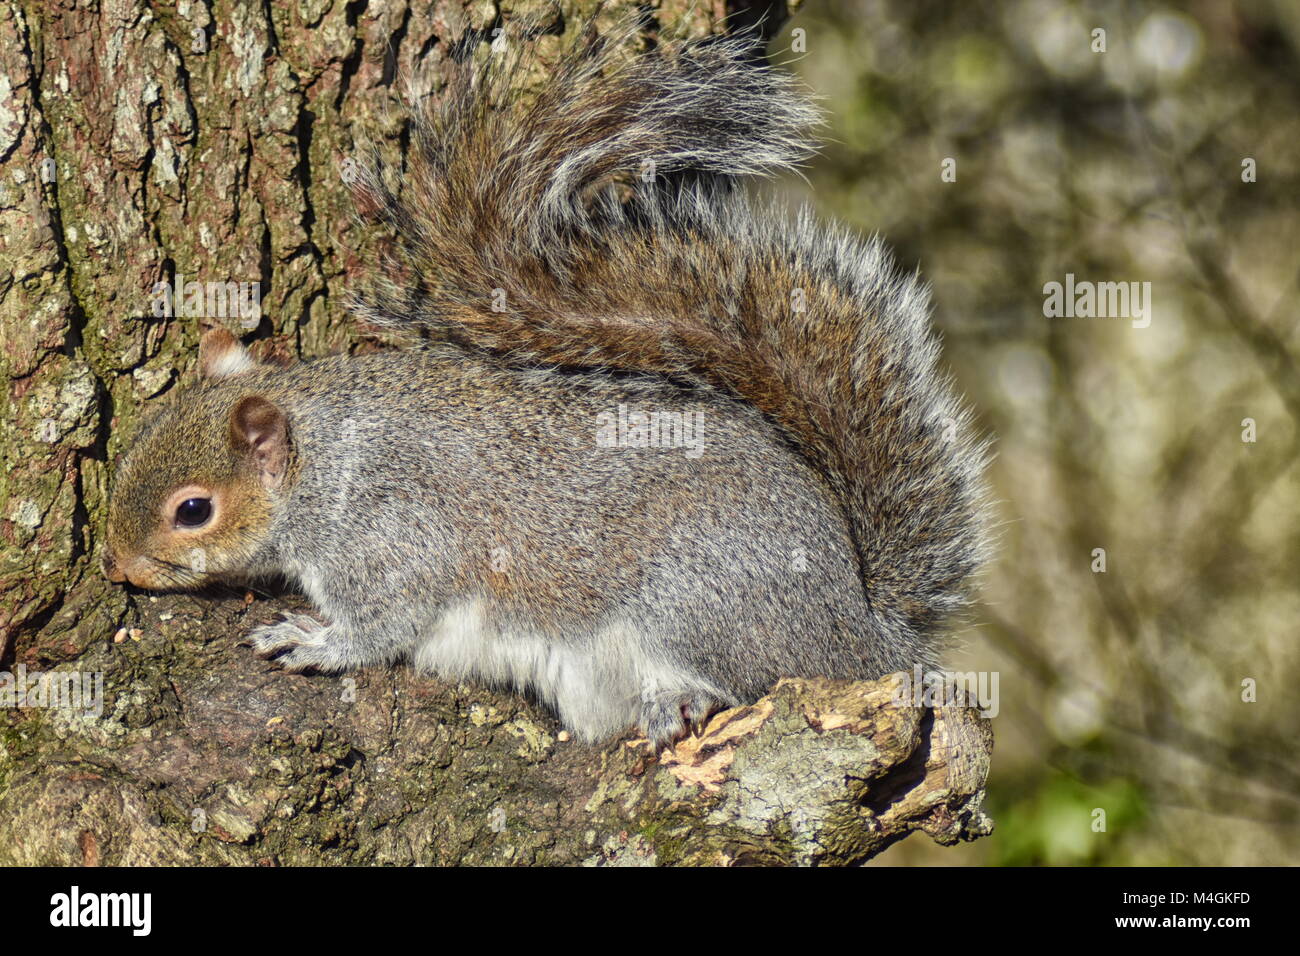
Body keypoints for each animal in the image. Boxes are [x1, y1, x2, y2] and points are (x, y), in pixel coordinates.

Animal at [103, 18, 990, 748]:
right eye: (136, 442)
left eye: (193, 510)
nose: (119, 568)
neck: (324, 455)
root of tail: (864, 630)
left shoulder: (393, 537)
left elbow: (384, 622)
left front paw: (312, 639)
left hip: (696, 602)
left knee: (750, 677)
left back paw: (688, 698)